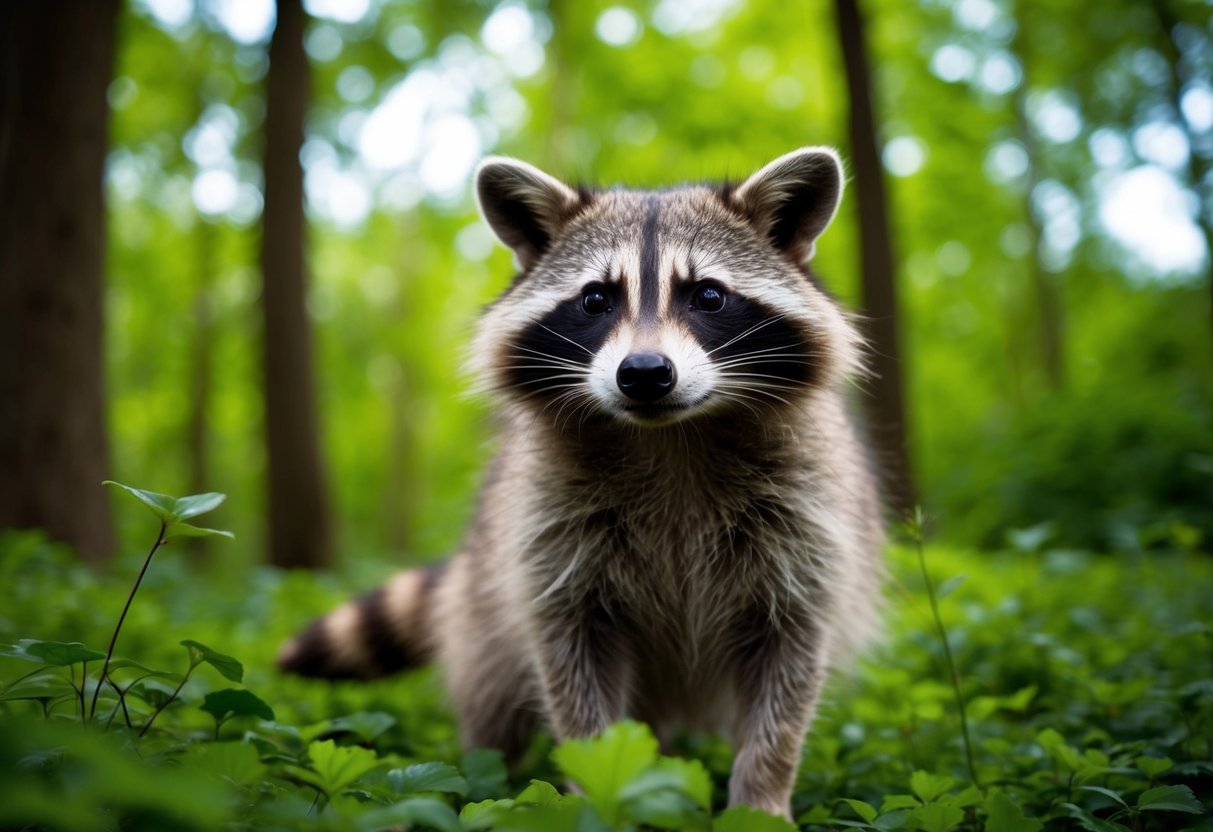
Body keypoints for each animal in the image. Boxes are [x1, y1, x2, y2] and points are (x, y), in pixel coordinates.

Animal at [279, 147, 884, 818]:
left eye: (708, 295)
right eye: (596, 299)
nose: (644, 373)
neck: (667, 438)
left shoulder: (806, 533)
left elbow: (789, 674)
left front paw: (761, 797)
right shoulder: (550, 540)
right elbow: (573, 670)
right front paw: (598, 790)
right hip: (482, 606)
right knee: (490, 706)